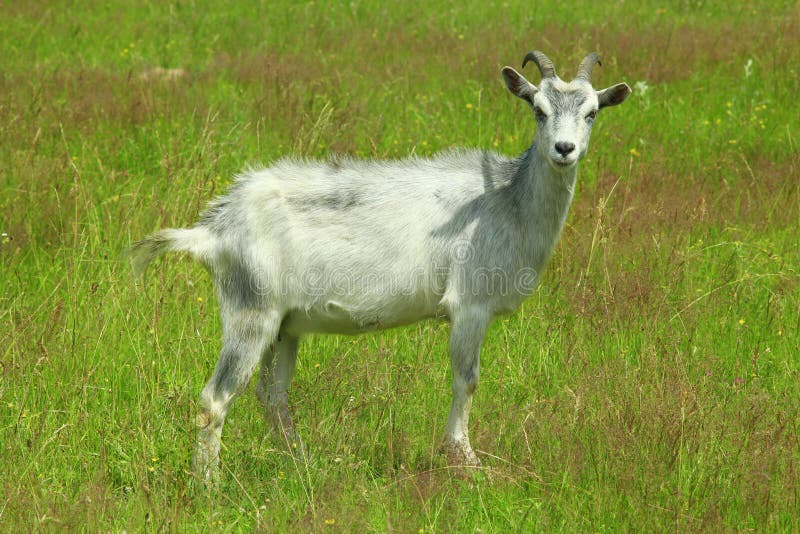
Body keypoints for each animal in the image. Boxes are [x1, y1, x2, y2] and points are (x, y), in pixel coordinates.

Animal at [128, 50, 631, 483]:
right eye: (538, 110)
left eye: (592, 112)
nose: (564, 149)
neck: (507, 201)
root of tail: (215, 227)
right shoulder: (470, 305)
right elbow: (466, 381)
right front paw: (466, 462)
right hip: (250, 312)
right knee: (214, 398)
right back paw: (210, 486)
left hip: (284, 326)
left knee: (271, 396)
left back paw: (305, 464)